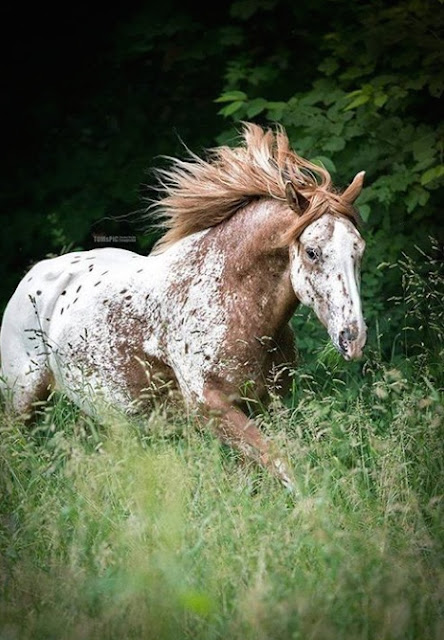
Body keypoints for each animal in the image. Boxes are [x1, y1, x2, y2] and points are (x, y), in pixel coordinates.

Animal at [0, 124, 367, 488]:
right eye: (312, 252)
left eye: (359, 250)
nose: (353, 338)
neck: (232, 302)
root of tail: (33, 276)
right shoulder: (210, 405)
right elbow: (280, 462)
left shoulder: (264, 405)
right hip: (24, 398)